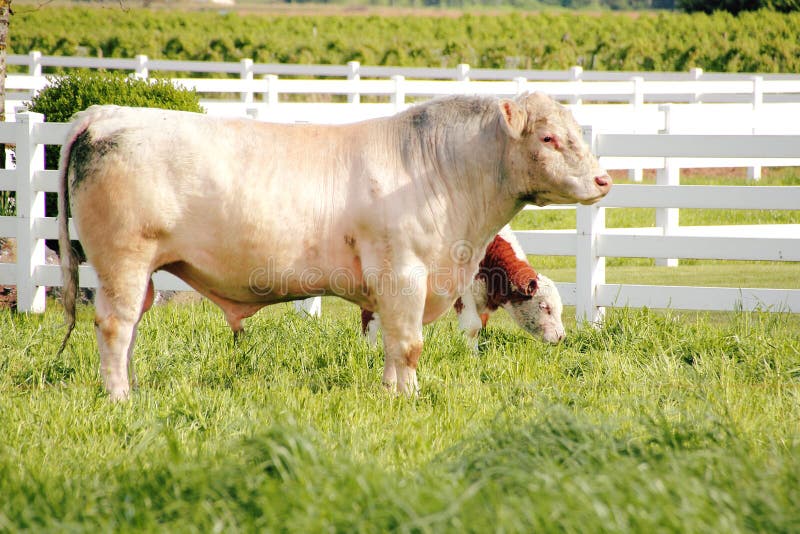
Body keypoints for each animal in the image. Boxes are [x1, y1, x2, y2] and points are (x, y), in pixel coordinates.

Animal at [361, 226, 565, 350]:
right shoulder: (464, 293)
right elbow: (472, 326)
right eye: (545, 307)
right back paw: (370, 349)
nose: (561, 336)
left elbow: (480, 326)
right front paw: (472, 358)